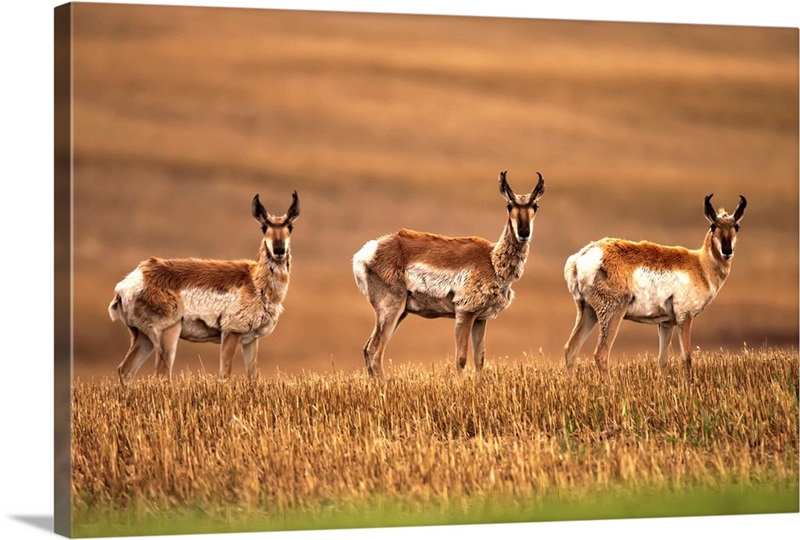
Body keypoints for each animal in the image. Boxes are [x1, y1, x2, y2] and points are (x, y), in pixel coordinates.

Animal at [108, 192, 300, 384]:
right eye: (263, 227)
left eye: (290, 226)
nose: (279, 250)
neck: (255, 281)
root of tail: (131, 280)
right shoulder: (231, 332)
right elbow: (224, 375)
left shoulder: (250, 340)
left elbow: (253, 376)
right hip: (167, 333)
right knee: (161, 375)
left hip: (144, 337)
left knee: (125, 370)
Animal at [353, 170, 546, 377]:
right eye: (509, 206)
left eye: (535, 206)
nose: (524, 232)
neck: (492, 260)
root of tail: (369, 251)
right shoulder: (464, 313)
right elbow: (460, 359)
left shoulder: (481, 319)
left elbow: (479, 360)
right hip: (390, 310)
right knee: (375, 351)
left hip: (400, 312)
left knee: (367, 349)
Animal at [563, 193, 746, 378]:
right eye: (713, 225)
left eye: (736, 226)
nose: (727, 250)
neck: (700, 265)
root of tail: (580, 257)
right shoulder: (685, 317)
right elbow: (686, 359)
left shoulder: (666, 323)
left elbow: (662, 360)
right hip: (612, 313)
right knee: (600, 353)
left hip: (588, 312)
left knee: (571, 349)